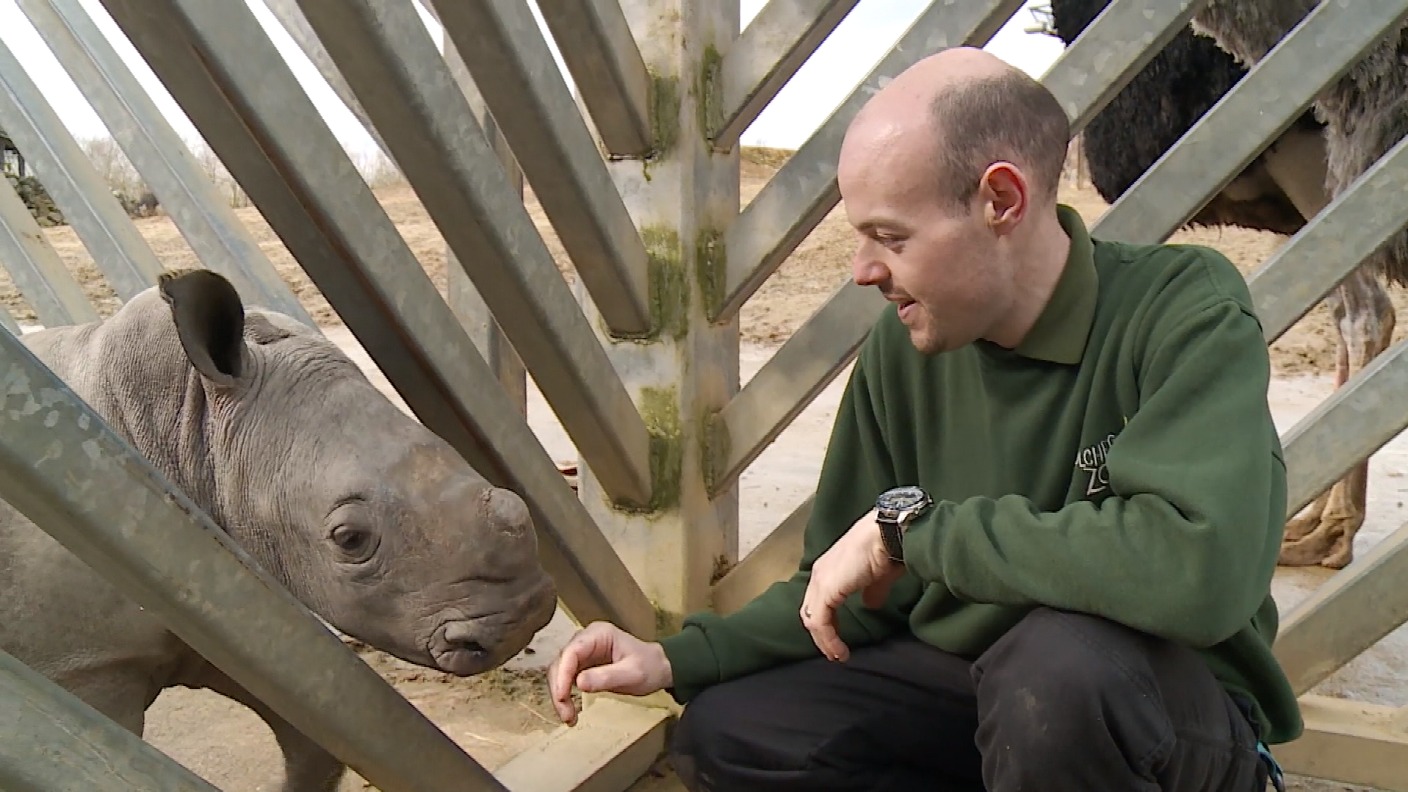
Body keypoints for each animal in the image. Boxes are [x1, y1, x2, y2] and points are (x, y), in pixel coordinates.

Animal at [0, 269, 558, 790]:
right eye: (350, 539)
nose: (526, 616)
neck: (182, 427)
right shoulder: (87, 664)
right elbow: (96, 760)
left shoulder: (216, 603)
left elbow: (315, 744)